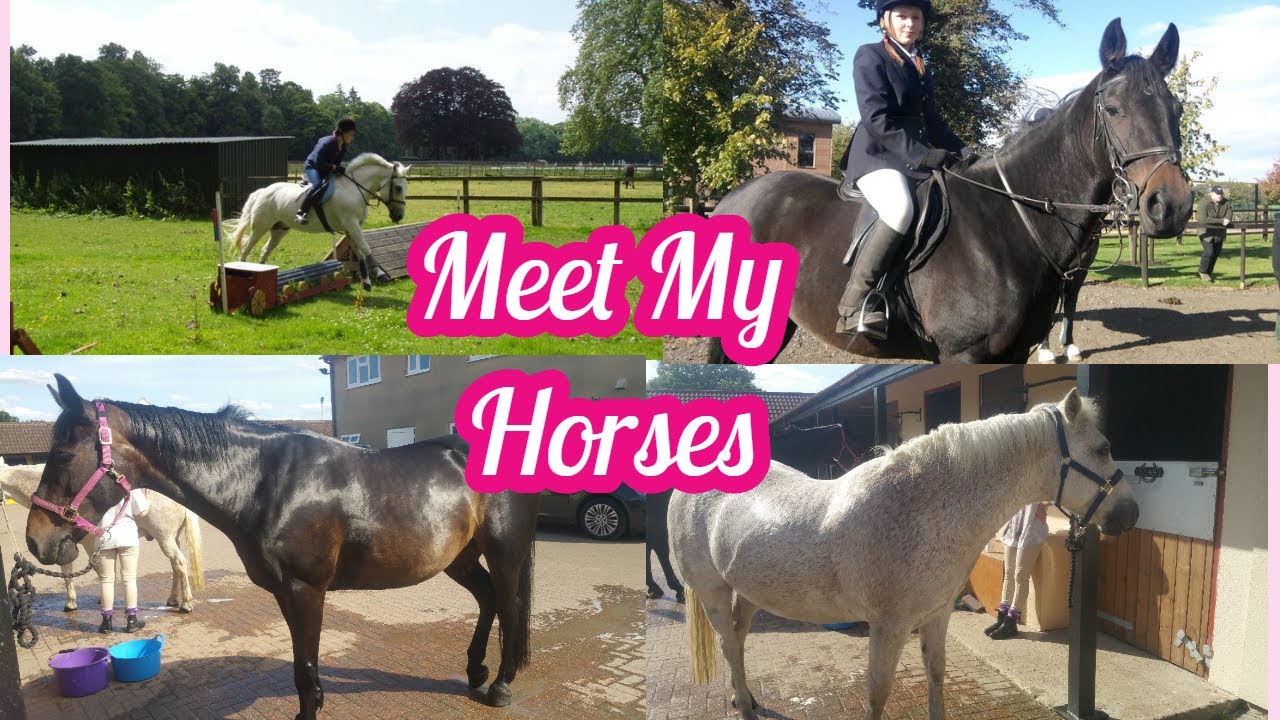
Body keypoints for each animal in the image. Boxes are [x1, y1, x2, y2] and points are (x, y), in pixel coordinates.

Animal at [1, 460, 204, 612]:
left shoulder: (84, 543)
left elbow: (95, 570)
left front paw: (80, 602)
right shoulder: (64, 546)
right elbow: (69, 571)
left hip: (165, 539)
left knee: (179, 563)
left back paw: (186, 604)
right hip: (172, 538)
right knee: (176, 567)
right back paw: (173, 599)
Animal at [27, 375, 539, 720]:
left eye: (64, 454)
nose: (36, 539)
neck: (267, 481)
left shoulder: (306, 590)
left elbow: (306, 670)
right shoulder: (285, 594)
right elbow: (299, 668)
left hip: (504, 553)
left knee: (510, 606)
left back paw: (500, 685)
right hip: (461, 558)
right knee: (488, 599)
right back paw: (475, 671)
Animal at [229, 153, 410, 291]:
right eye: (398, 188)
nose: (399, 216)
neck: (355, 189)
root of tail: (263, 191)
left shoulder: (355, 227)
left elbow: (359, 252)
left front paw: (366, 282)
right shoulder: (351, 224)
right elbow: (365, 248)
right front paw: (380, 274)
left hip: (279, 229)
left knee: (265, 250)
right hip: (260, 226)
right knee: (246, 248)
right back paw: (242, 270)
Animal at [669, 388, 1139, 720]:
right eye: (1102, 448)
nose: (1130, 514)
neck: (922, 507)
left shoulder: (936, 616)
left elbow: (936, 677)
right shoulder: (888, 627)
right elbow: (878, 695)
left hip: (749, 592)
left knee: (738, 640)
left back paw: (744, 697)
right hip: (712, 591)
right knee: (728, 643)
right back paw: (745, 706)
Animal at [707, 19, 1191, 363]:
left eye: (1177, 108)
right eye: (1113, 109)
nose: (1171, 206)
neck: (1012, 222)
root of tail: (732, 198)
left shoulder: (1012, 353)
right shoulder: (964, 353)